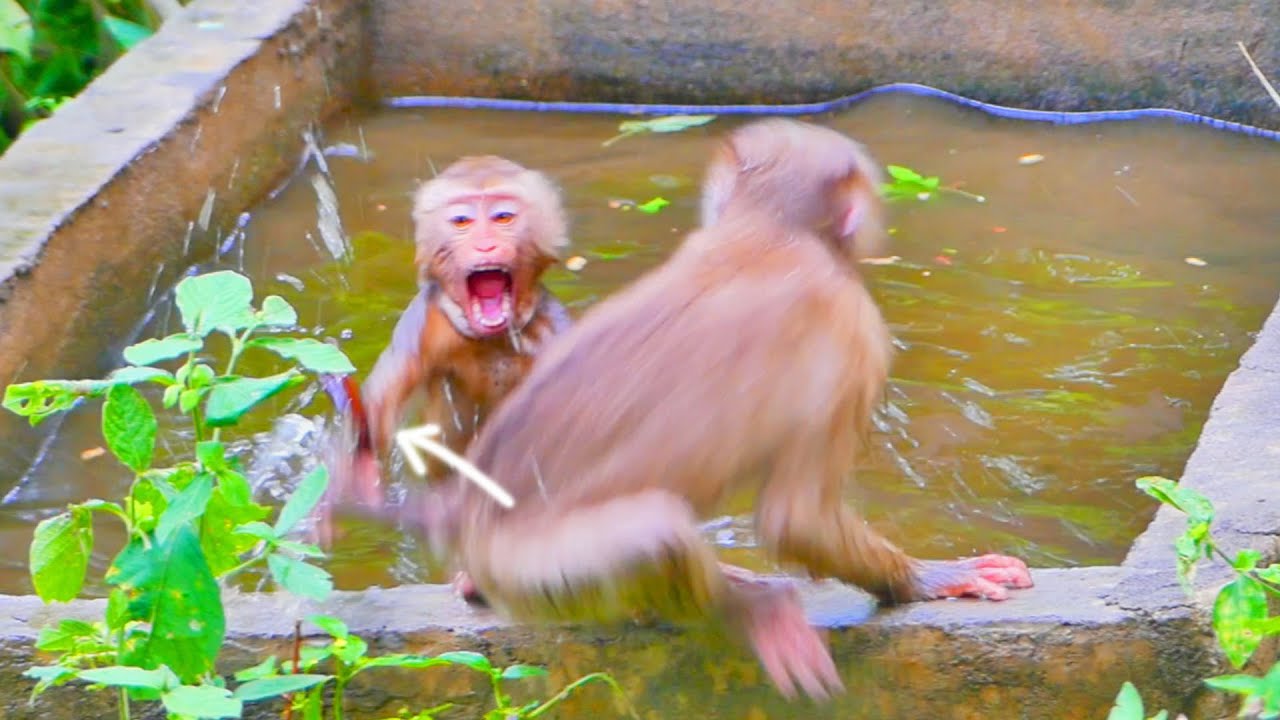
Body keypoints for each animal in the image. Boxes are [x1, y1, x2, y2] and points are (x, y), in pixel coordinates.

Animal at [319, 155, 573, 543]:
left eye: (502, 217)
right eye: (462, 221)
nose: (485, 246)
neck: (492, 337)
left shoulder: (554, 330)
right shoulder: (425, 320)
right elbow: (380, 405)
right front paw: (354, 473)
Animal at [355, 119, 1034, 701]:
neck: (768, 229)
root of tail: (470, 524)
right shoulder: (857, 336)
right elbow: (798, 518)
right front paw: (930, 579)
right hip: (532, 572)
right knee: (654, 532)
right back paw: (748, 609)